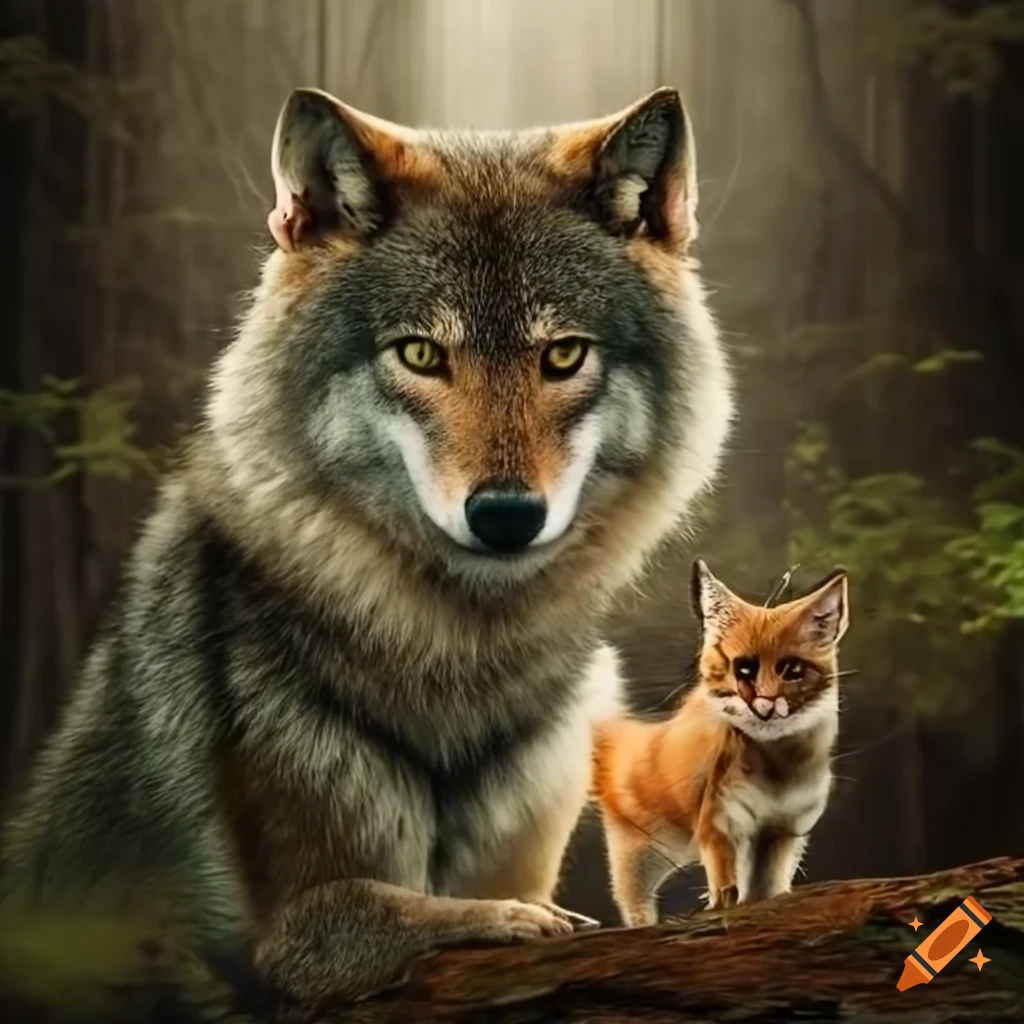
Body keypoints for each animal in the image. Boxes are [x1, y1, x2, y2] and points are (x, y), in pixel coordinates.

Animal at [0, 84, 733, 1017]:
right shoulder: (281, 936)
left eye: (564, 354)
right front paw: (526, 924)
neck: (459, 668)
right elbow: (404, 908)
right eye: (420, 353)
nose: (505, 515)